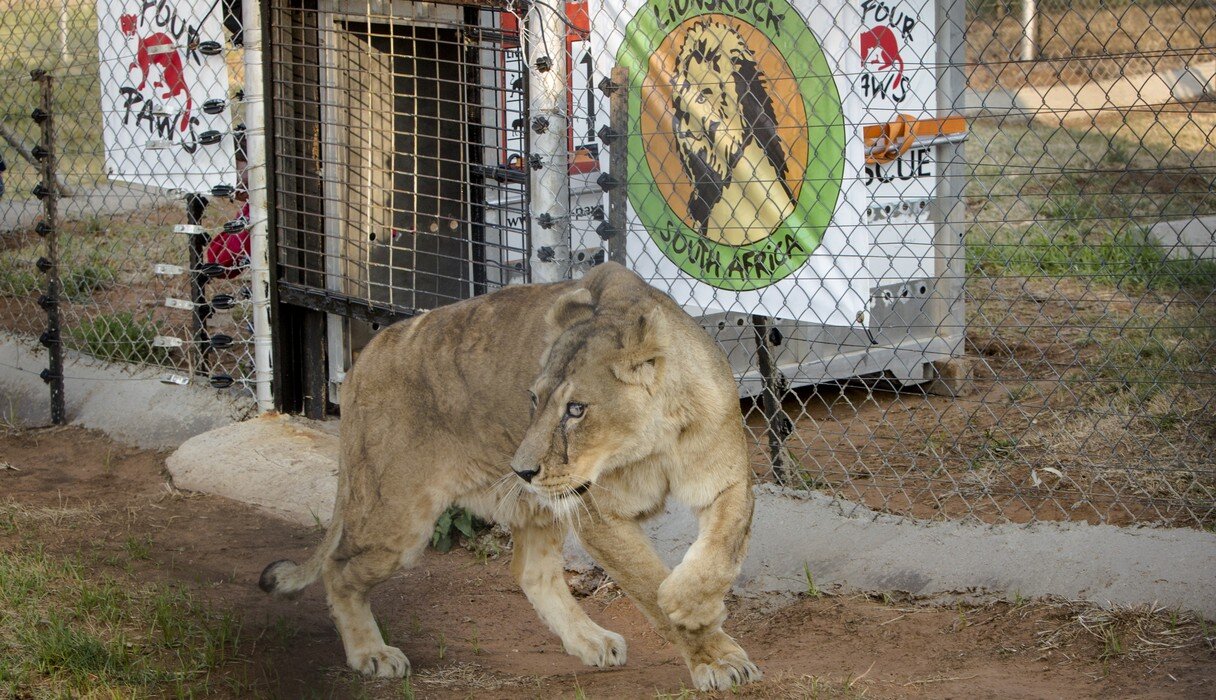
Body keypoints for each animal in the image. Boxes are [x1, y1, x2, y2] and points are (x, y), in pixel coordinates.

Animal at [259, 262, 761, 691]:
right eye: (534, 399)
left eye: (576, 409)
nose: (520, 470)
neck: (650, 444)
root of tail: (369, 351)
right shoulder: (598, 513)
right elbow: (646, 580)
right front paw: (712, 653)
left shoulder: (728, 481)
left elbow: (723, 548)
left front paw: (694, 605)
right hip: (397, 521)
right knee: (338, 568)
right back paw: (371, 653)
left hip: (534, 507)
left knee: (531, 573)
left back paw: (590, 640)